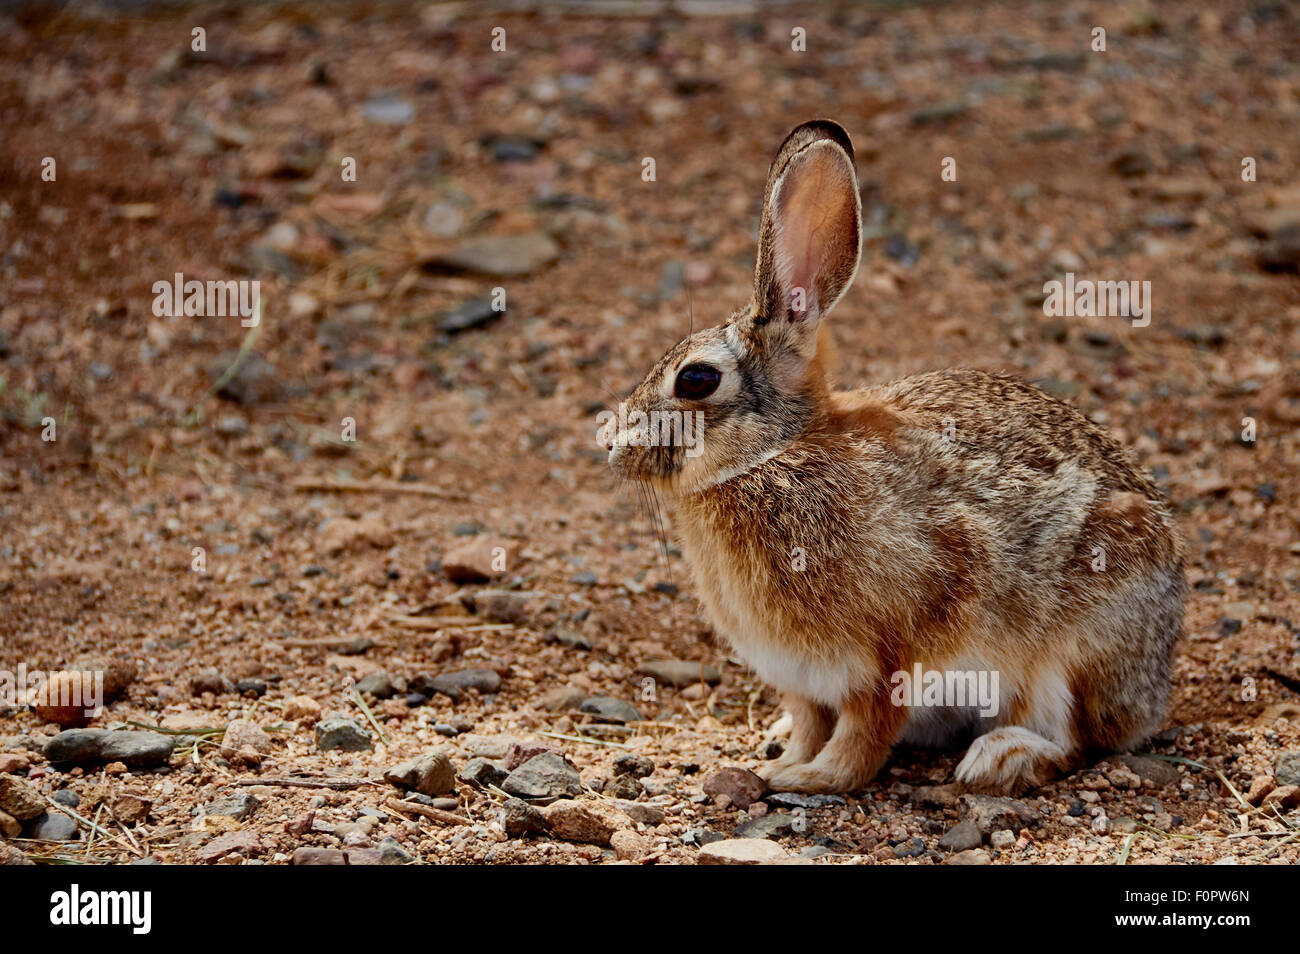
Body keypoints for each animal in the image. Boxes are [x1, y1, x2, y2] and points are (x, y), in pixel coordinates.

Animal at [606, 119, 1185, 795]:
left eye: (696, 380)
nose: (616, 449)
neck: (774, 455)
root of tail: (1153, 687)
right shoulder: (800, 679)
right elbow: (809, 720)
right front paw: (782, 759)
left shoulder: (883, 656)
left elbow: (864, 732)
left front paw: (808, 779)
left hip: (1073, 653)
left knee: (1078, 741)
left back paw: (1002, 757)